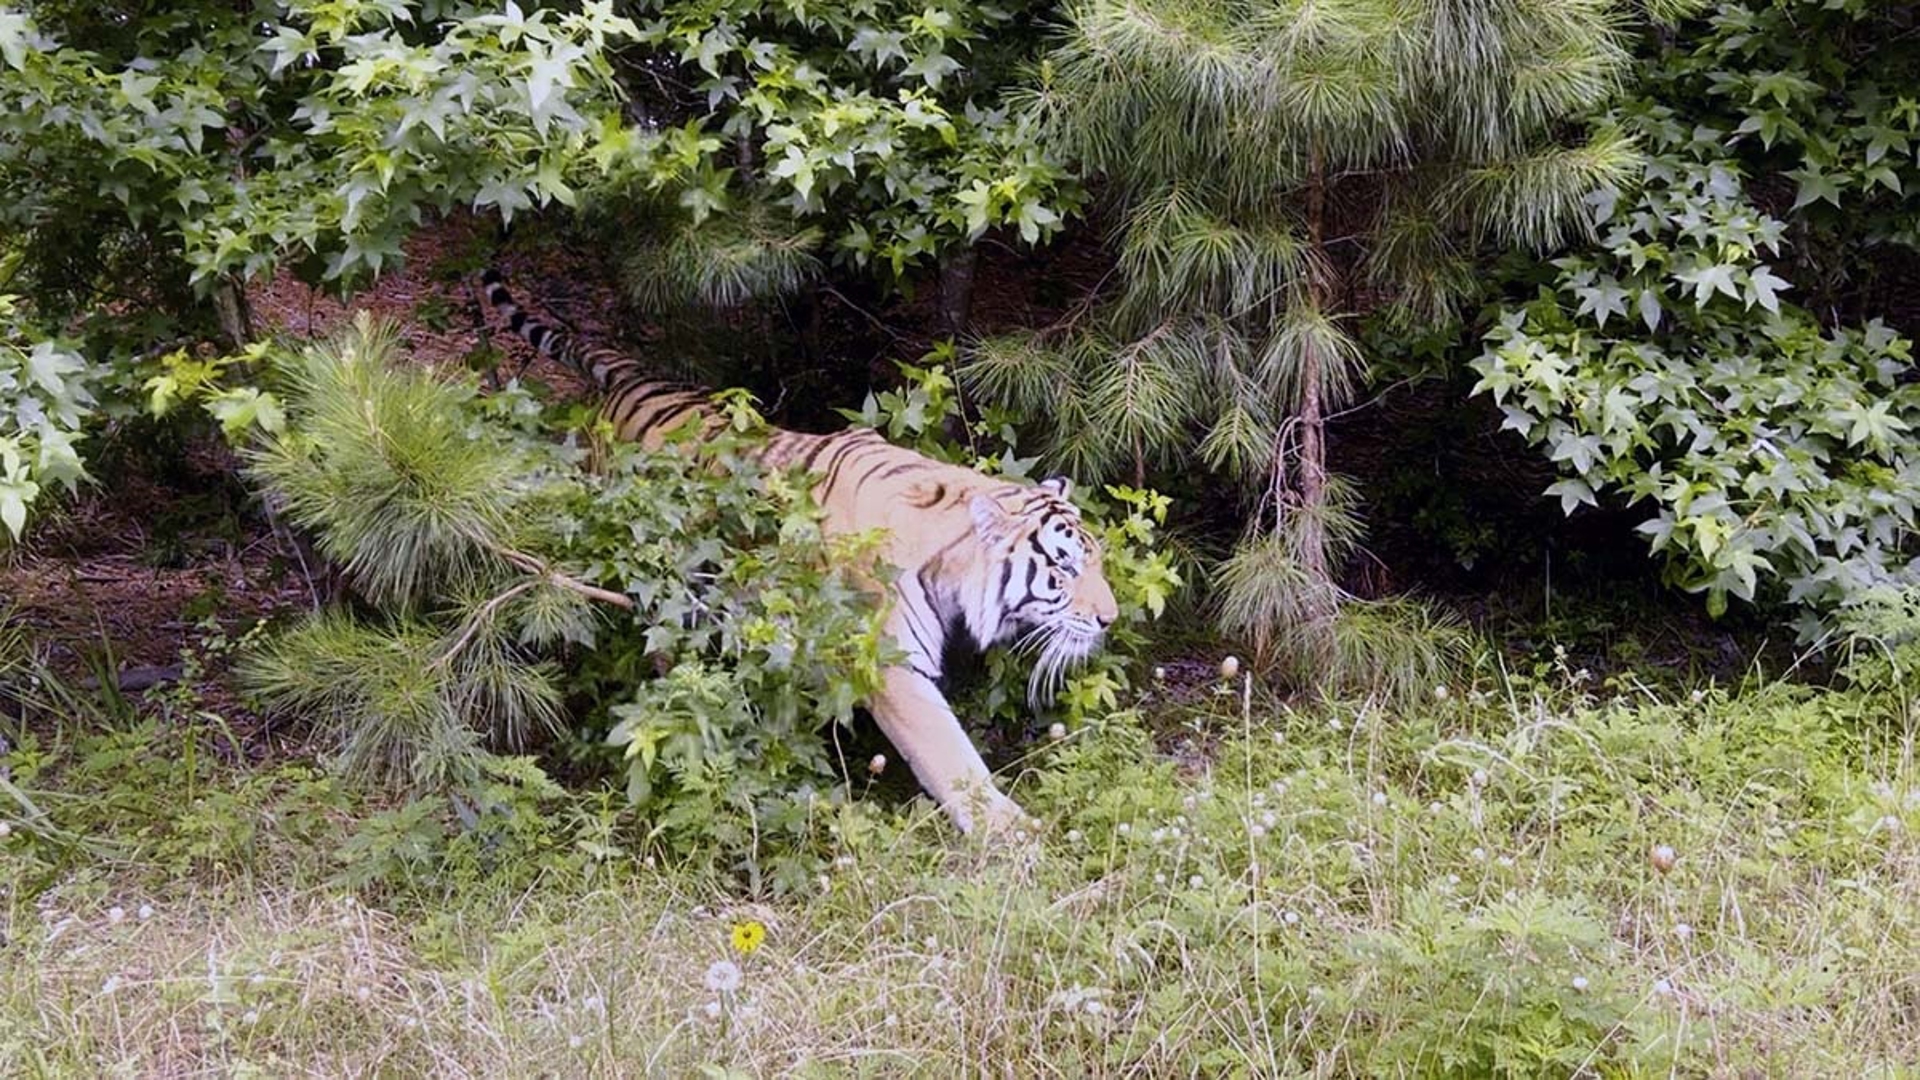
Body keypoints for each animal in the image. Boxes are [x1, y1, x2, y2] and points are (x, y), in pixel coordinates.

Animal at [479, 269, 1118, 835]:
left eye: (1096, 560)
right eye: (1064, 566)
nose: (1110, 619)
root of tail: (632, 379)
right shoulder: (890, 667)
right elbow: (950, 755)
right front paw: (1011, 834)